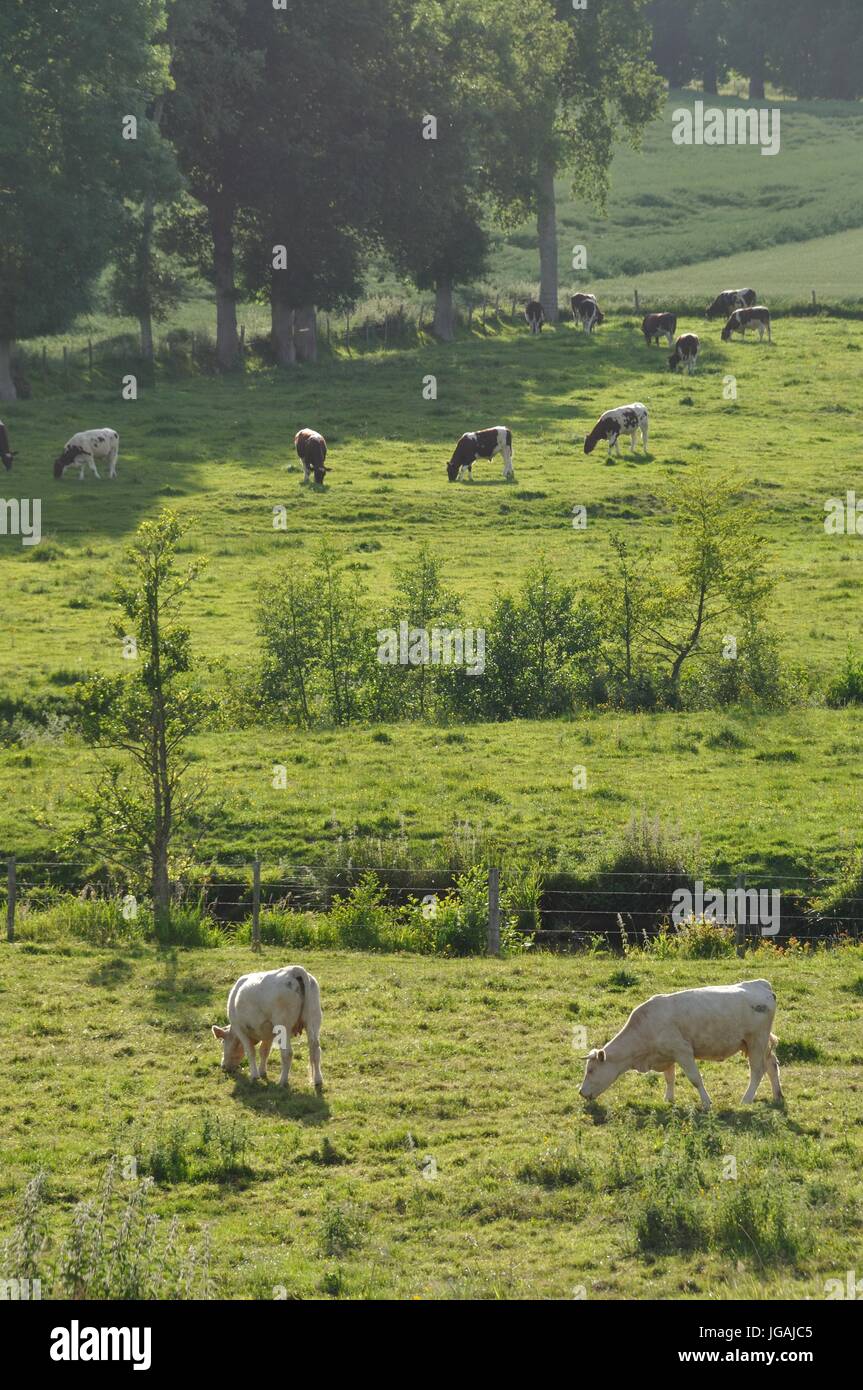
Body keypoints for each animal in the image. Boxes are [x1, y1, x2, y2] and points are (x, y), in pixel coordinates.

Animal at [579, 980, 783, 1112]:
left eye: (591, 1070)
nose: (580, 1092)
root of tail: (760, 984)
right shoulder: (667, 1055)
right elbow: (670, 1078)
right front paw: (668, 1099)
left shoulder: (683, 1051)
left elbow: (695, 1079)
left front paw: (706, 1103)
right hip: (758, 1043)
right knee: (772, 1065)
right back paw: (778, 1096)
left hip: (756, 1041)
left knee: (757, 1070)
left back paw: (746, 1100)